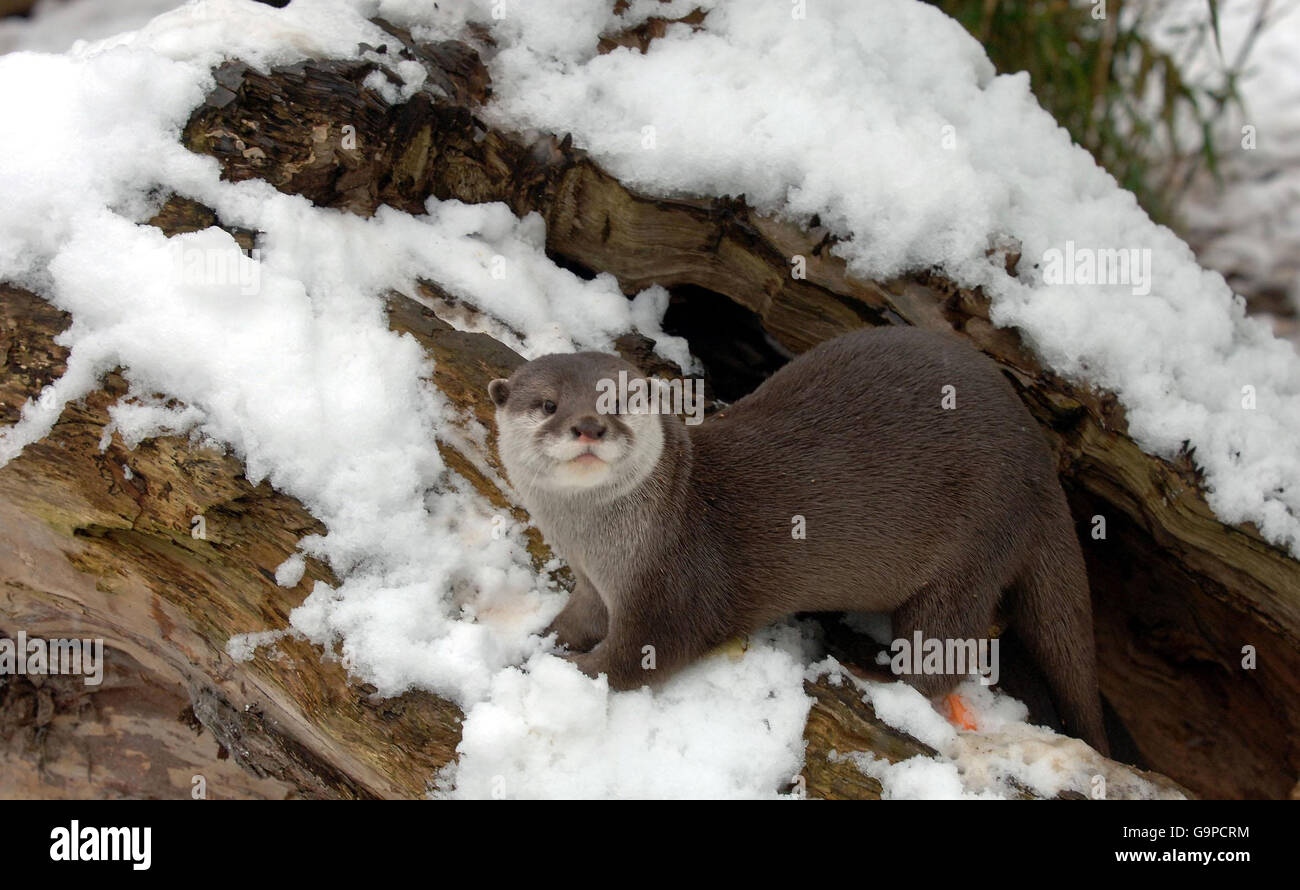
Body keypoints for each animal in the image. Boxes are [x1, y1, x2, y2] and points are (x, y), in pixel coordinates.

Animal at [489, 326, 1107, 753]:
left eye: (617, 402)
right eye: (548, 404)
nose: (588, 426)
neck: (613, 548)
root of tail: (1040, 464)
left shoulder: (674, 593)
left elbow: (636, 658)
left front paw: (567, 673)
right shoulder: (594, 583)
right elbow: (576, 619)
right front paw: (538, 639)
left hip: (974, 545)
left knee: (941, 657)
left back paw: (869, 673)